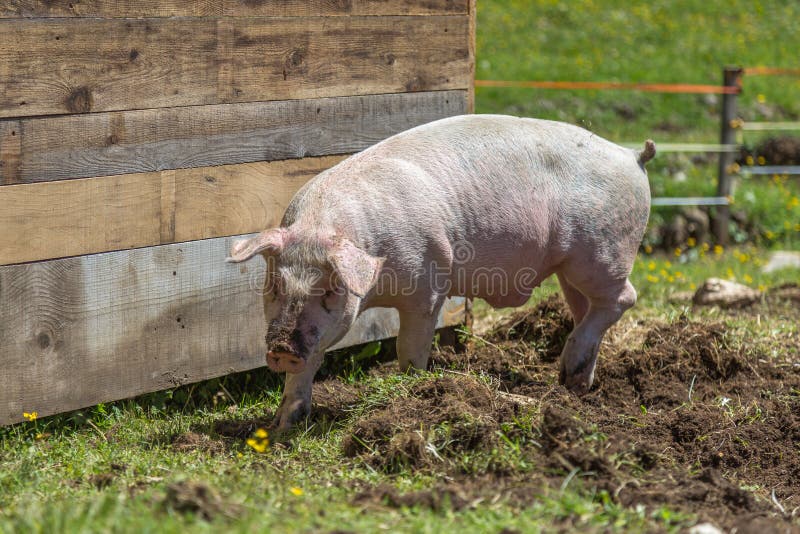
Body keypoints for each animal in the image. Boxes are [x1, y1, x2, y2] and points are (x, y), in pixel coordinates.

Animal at [227, 114, 654, 429]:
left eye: (331, 291)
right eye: (274, 286)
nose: (281, 349)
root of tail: (631, 155)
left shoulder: (427, 287)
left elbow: (410, 349)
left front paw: (411, 390)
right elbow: (311, 363)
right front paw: (282, 426)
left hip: (602, 251)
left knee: (623, 298)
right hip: (575, 270)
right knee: (588, 311)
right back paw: (573, 384)